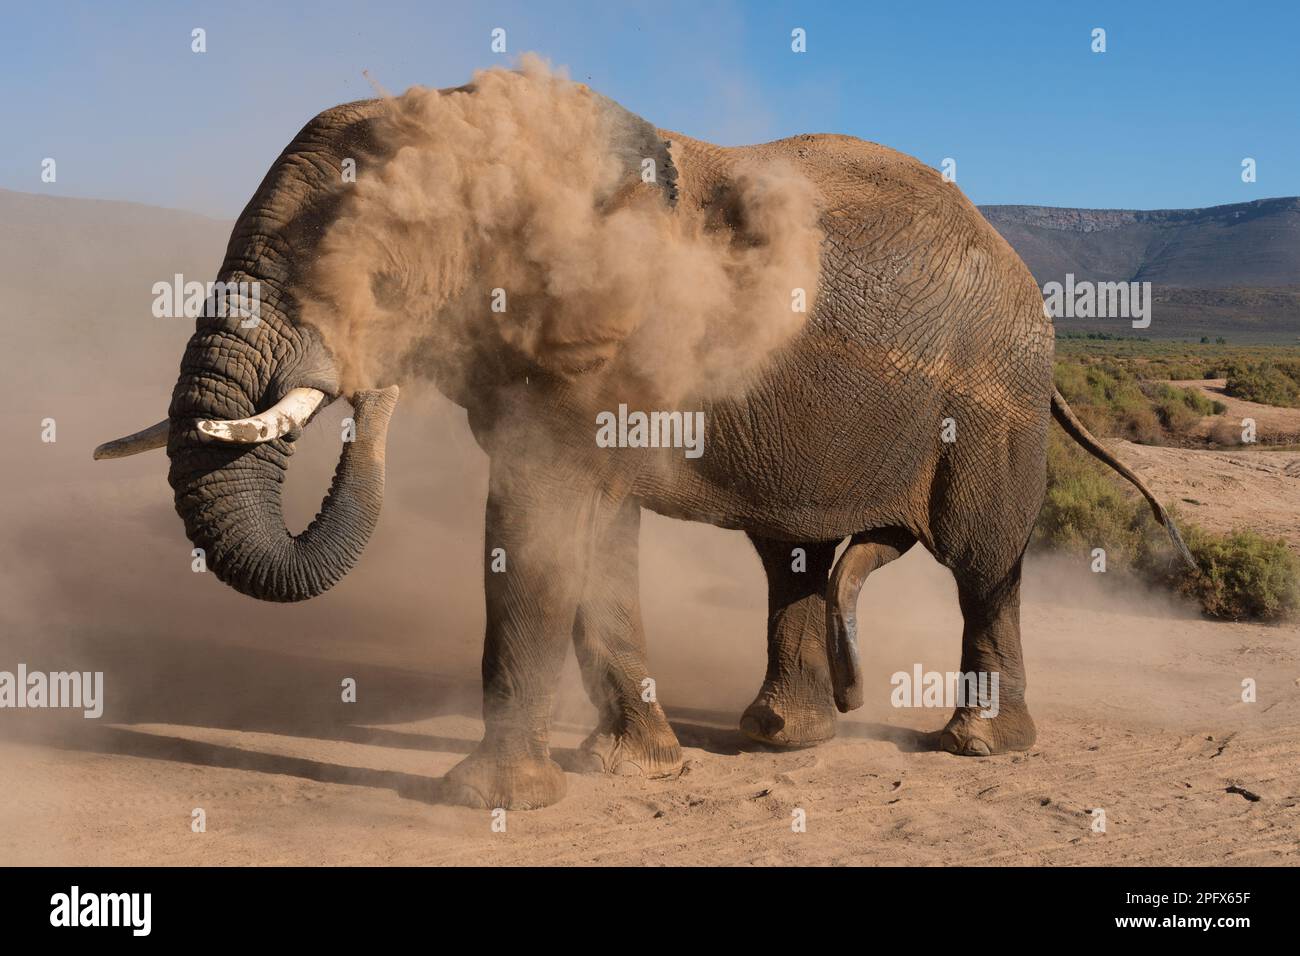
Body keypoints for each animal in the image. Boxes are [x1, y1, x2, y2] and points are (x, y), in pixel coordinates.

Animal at [95, 74, 1192, 810]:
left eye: (360, 269)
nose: (376, 387)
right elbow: (596, 542)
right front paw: (634, 768)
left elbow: (537, 531)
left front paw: (490, 802)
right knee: (795, 558)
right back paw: (781, 736)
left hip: (995, 400)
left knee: (979, 561)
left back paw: (977, 748)